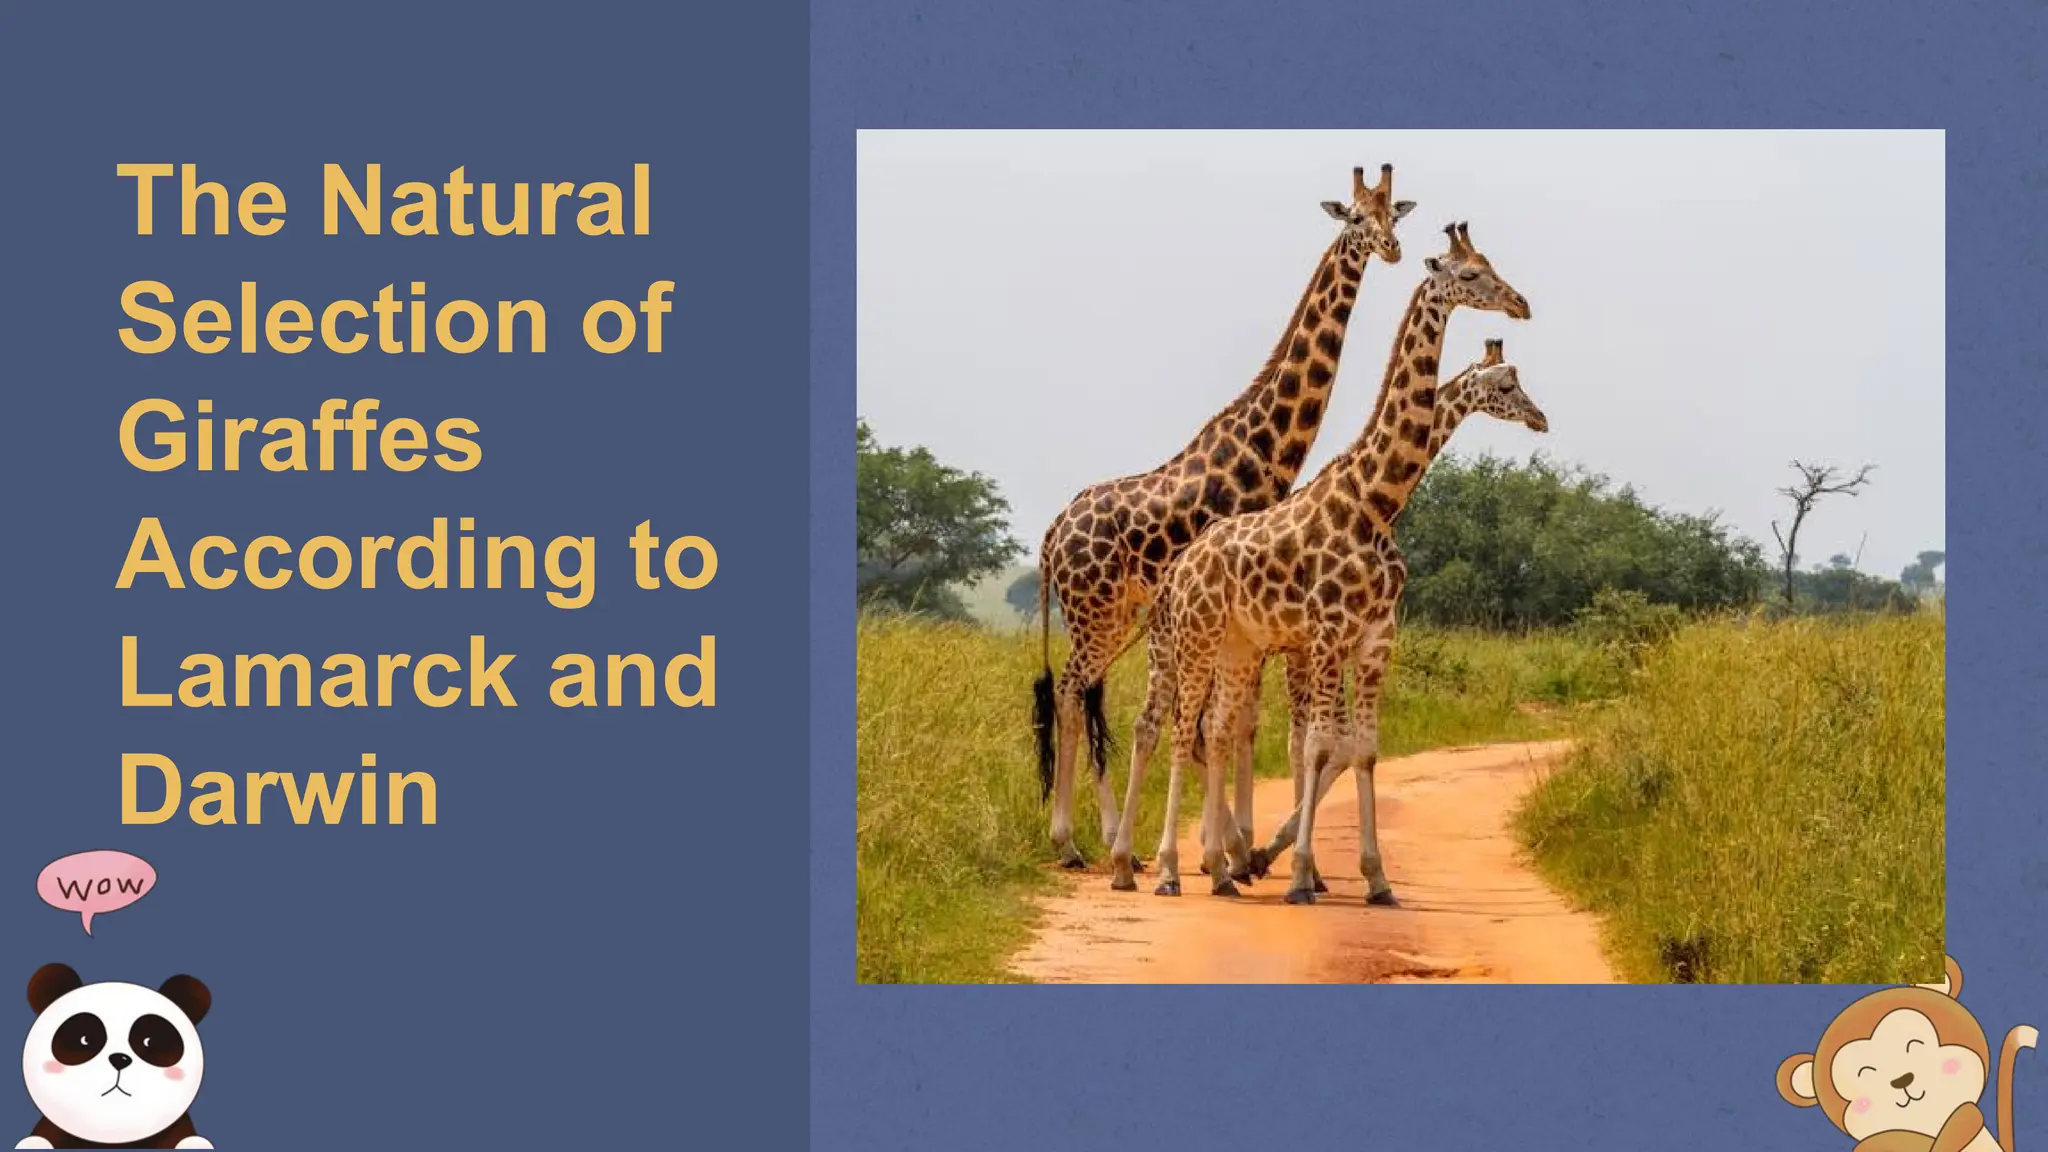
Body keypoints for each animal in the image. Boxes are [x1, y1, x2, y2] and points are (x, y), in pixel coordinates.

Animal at [1030, 164, 1416, 868]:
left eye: (1391, 214)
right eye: (1354, 217)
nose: (1391, 249)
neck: (1264, 449)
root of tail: (1051, 535)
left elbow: (1238, 720)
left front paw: (1235, 844)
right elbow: (1231, 721)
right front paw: (1233, 846)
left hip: (1112, 617)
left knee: (1087, 693)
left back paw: (1108, 840)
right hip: (1095, 613)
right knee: (1072, 691)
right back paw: (1072, 841)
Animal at [1128, 221, 1531, 903]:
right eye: (1471, 273)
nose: (1521, 303)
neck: (1376, 501)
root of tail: (1184, 565)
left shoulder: (1371, 638)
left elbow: (1358, 748)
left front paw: (1372, 877)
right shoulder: (1320, 637)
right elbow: (1315, 746)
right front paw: (1295, 873)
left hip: (1237, 646)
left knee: (1214, 729)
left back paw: (1216, 867)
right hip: (1192, 641)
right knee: (1178, 729)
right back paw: (1161, 868)